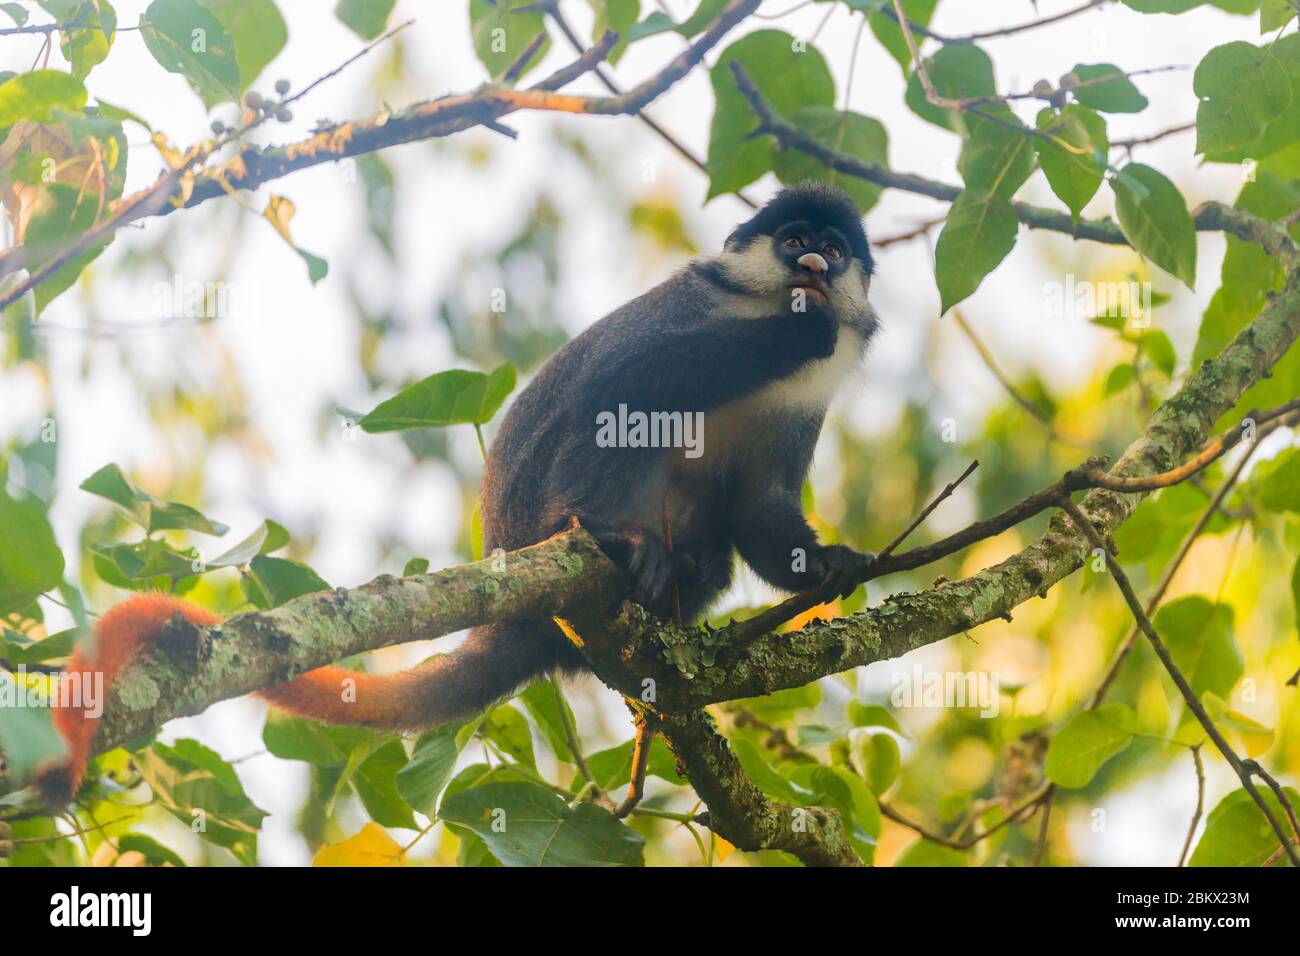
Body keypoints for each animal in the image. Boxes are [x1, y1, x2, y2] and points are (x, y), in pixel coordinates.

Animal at [37, 180, 879, 803]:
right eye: (792, 238)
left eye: (835, 249)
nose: (813, 261)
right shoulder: (696, 306)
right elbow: (628, 382)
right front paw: (792, 332)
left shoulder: (810, 400)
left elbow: (759, 507)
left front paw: (827, 563)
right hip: (538, 507)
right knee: (609, 415)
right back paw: (610, 539)